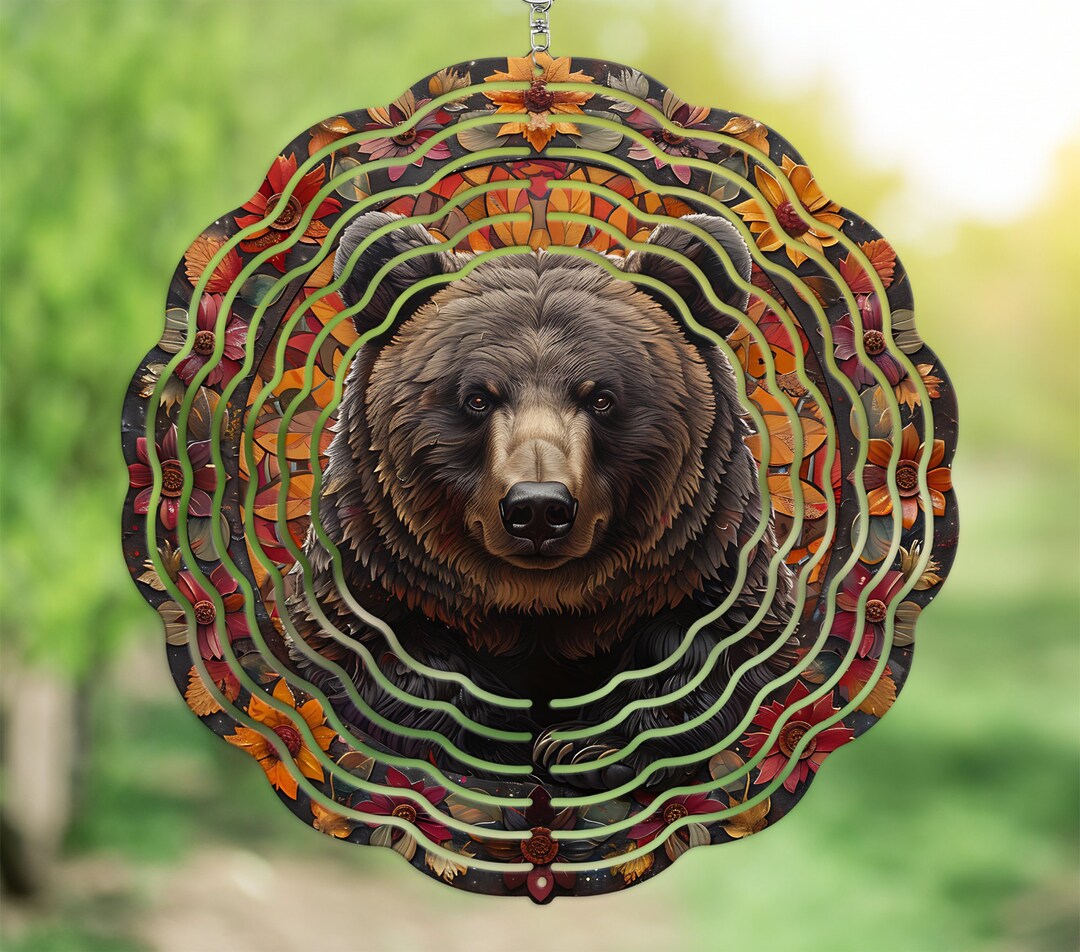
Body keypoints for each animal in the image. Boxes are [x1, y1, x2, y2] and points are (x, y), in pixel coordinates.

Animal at [284, 209, 798, 791]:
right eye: (476, 397)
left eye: (601, 397)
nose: (536, 508)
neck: (541, 600)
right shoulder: (376, 558)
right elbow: (375, 647)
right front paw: (495, 736)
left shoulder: (703, 554)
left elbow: (714, 644)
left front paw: (587, 745)